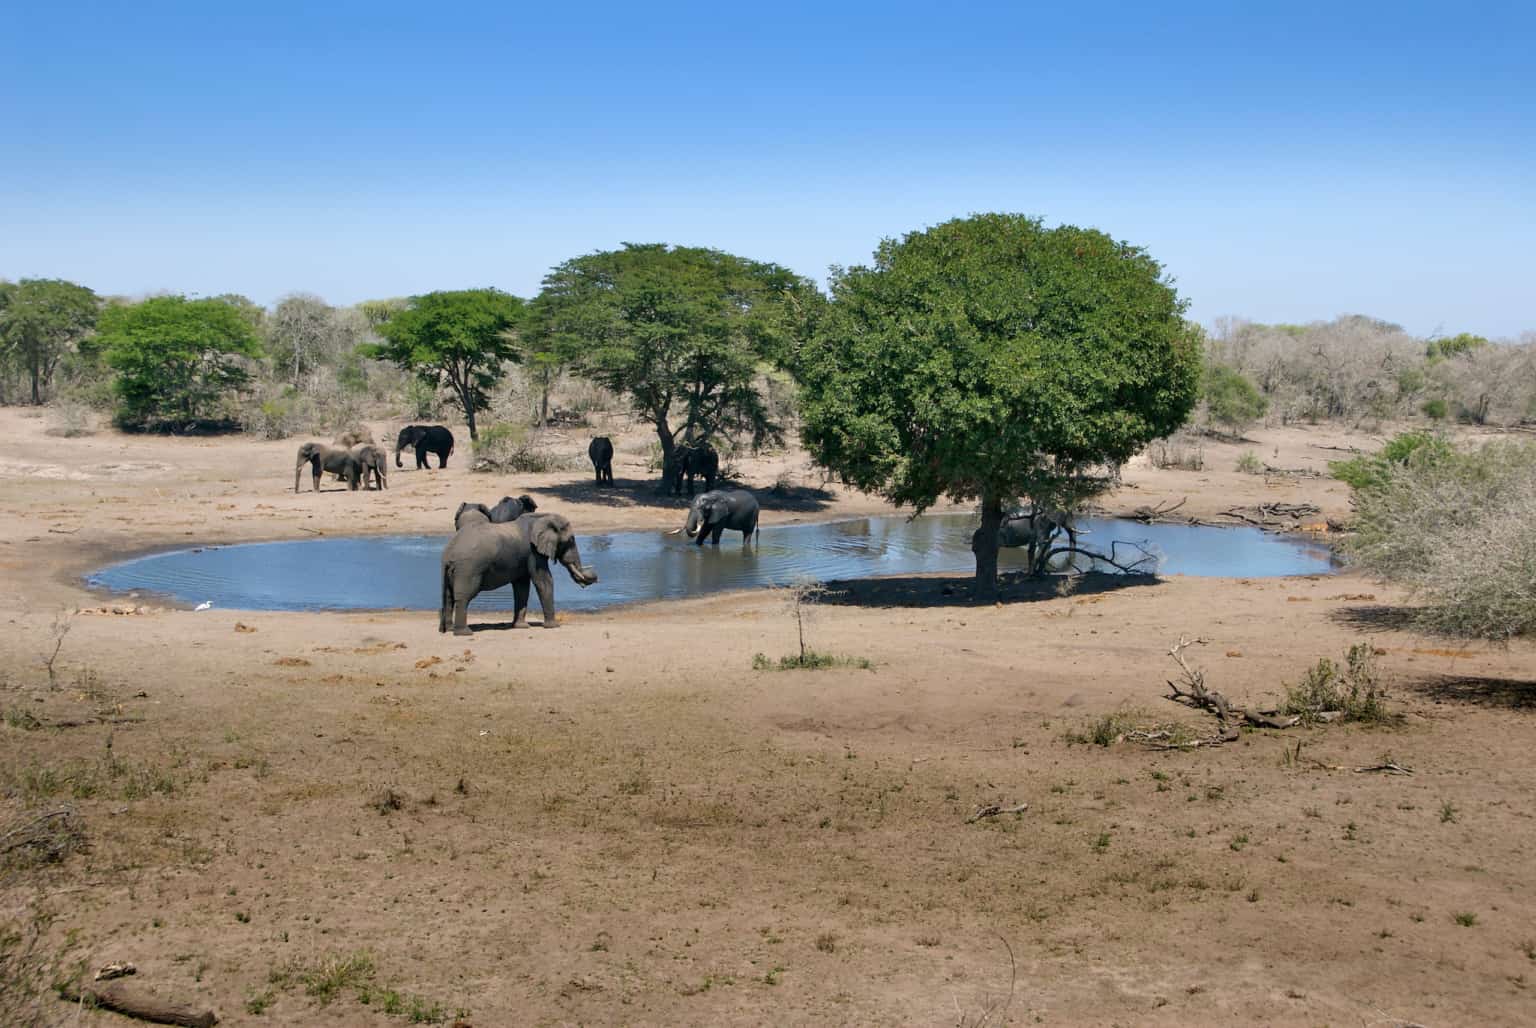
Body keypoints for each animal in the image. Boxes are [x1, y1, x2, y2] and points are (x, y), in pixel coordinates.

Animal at [440, 513, 598, 636]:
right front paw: (553, 626)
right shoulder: (533, 552)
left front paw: (521, 627)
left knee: (448, 597)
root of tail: (449, 553)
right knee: (464, 597)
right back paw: (464, 633)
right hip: (469, 568)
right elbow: (543, 581)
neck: (543, 517)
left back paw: (449, 630)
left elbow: (522, 586)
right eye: (570, 540)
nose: (591, 579)